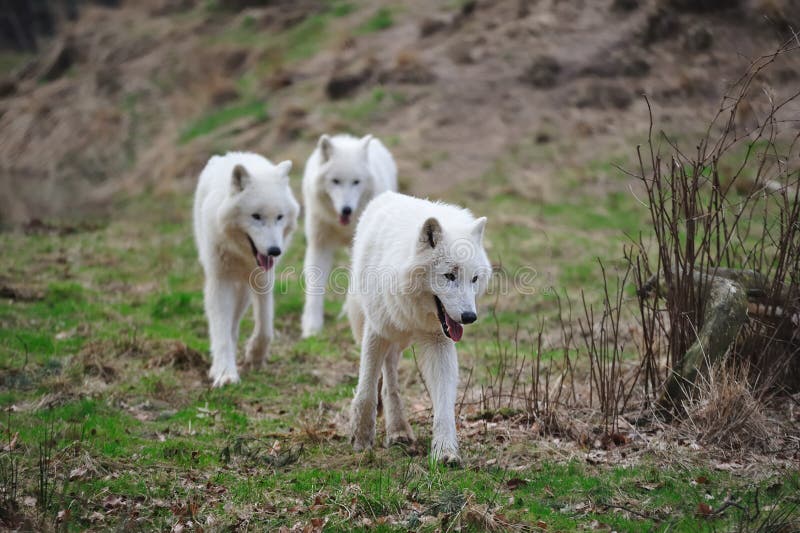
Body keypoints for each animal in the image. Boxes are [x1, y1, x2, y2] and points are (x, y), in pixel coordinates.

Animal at [193, 152, 299, 387]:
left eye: (279, 216)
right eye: (256, 216)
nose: (275, 251)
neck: (241, 254)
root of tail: (233, 154)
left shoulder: (263, 278)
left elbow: (265, 327)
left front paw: (254, 356)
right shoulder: (220, 281)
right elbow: (220, 330)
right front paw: (225, 373)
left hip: (243, 290)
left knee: (235, 324)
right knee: (226, 327)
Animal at [300, 133, 397, 338]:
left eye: (356, 182)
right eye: (335, 181)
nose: (347, 210)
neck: (341, 226)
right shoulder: (318, 245)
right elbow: (315, 287)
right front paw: (312, 328)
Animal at [346, 191, 491, 463]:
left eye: (474, 279)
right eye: (449, 275)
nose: (469, 317)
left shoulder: (439, 341)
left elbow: (444, 402)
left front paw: (445, 451)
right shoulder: (376, 330)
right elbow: (366, 388)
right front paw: (360, 439)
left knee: (390, 381)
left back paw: (398, 430)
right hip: (384, 330)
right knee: (387, 377)